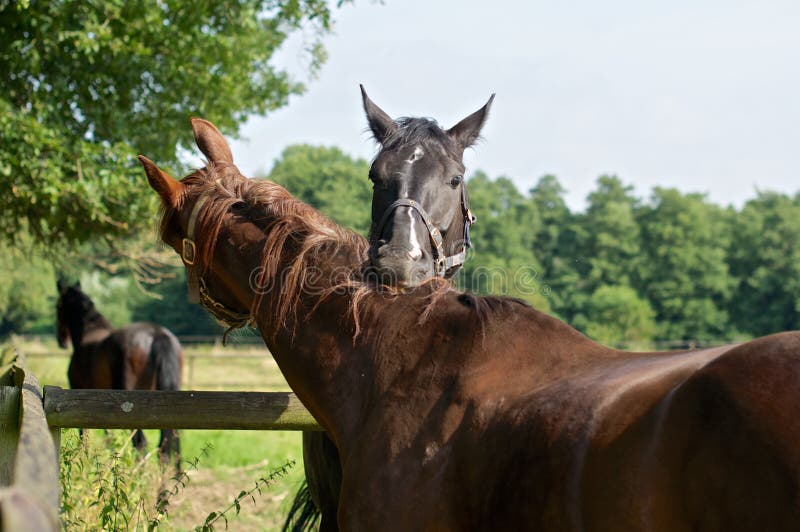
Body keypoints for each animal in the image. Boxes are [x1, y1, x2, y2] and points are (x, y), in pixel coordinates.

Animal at [56, 280, 183, 466]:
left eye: (58, 307)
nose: (61, 340)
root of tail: (156, 334)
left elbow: (85, 436)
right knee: (168, 444)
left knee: (140, 442)